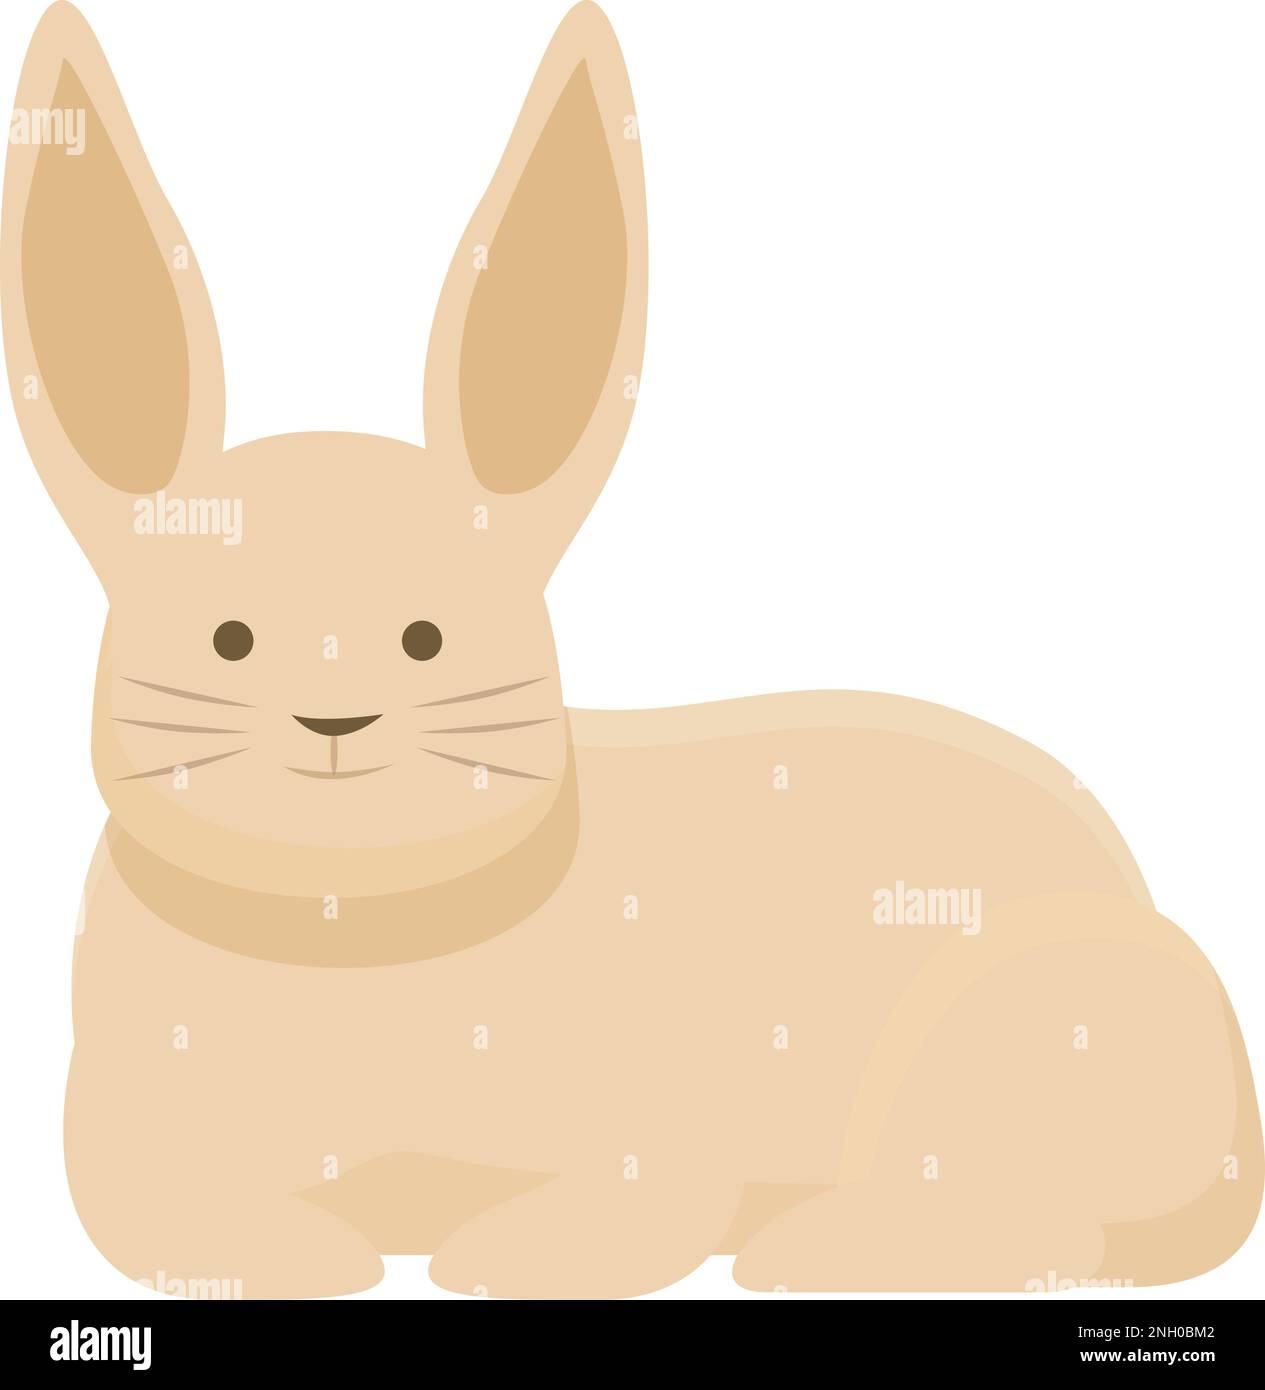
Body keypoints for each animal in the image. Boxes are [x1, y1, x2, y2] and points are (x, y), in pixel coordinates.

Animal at [3, 0, 1260, 1300]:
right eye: (231, 637)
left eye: (425, 637)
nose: (334, 721)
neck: (345, 922)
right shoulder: (116, 1143)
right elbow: (145, 1208)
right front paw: (301, 1254)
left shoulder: (650, 1144)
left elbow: (625, 1205)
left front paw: (483, 1257)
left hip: (1016, 1024)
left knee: (1041, 1226)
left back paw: (823, 1246)